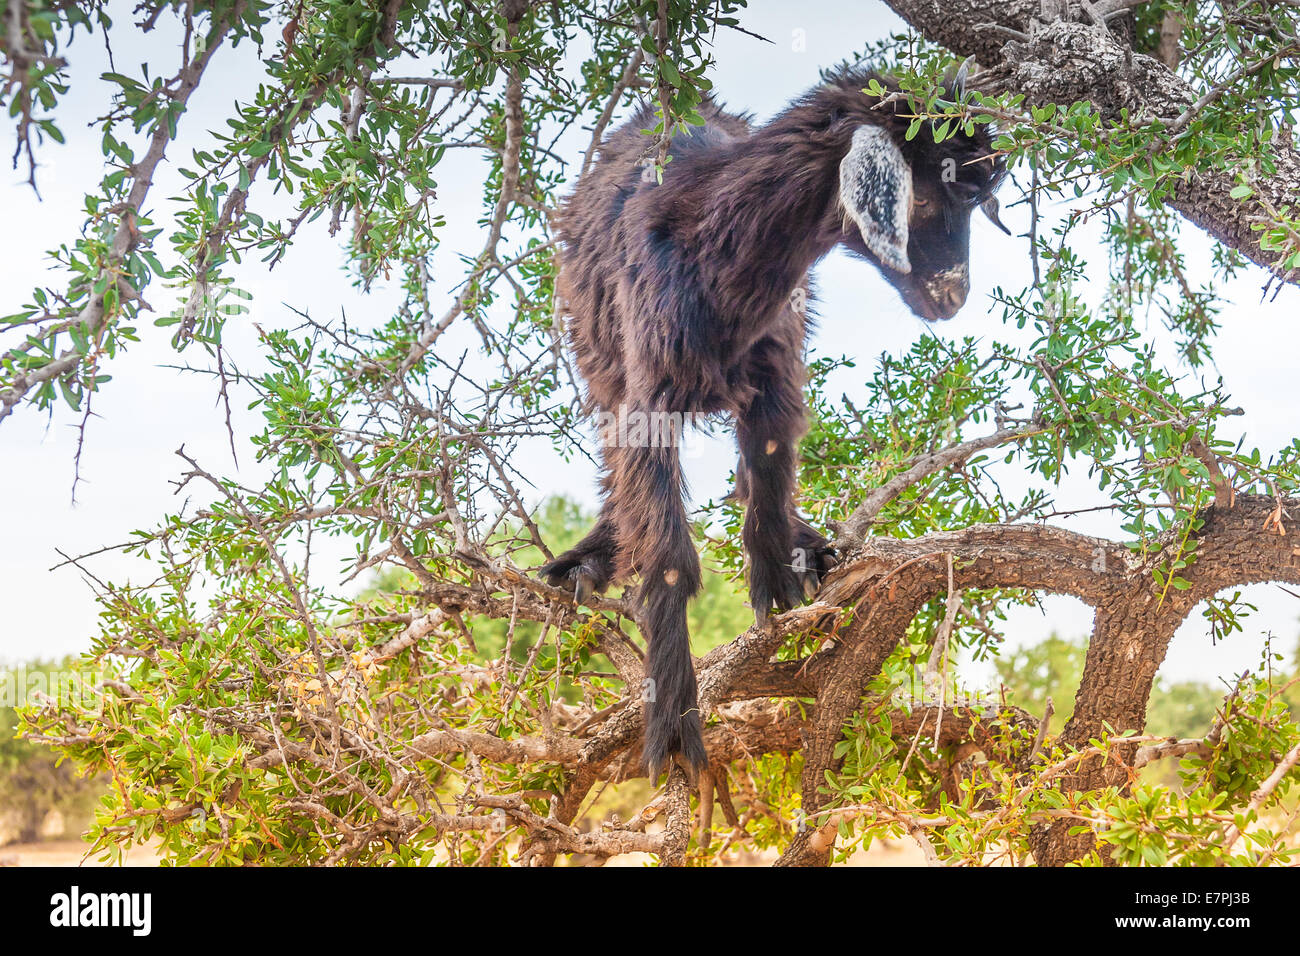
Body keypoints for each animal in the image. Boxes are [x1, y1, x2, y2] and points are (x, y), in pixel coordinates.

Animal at [540, 64, 1008, 779]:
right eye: (926, 201)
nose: (952, 298)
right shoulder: (648, 390)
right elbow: (667, 550)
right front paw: (672, 730)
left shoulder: (777, 371)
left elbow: (766, 483)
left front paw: (784, 592)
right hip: (595, 348)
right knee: (616, 465)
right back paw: (588, 562)